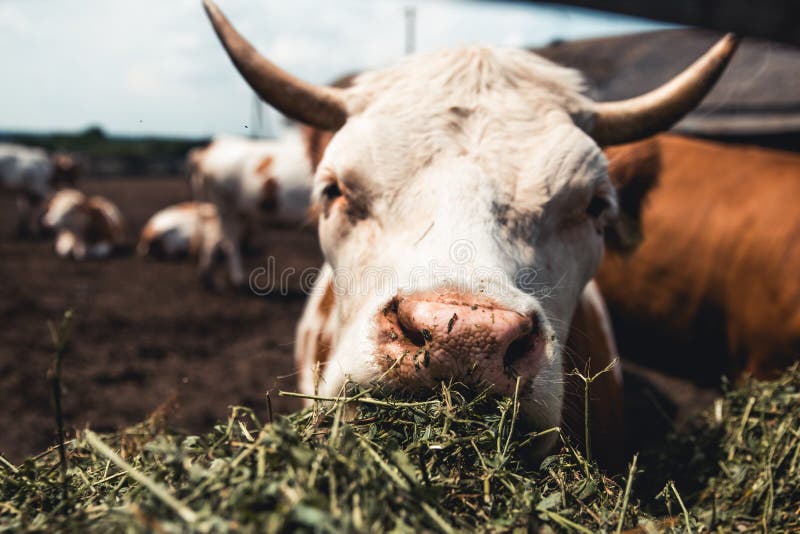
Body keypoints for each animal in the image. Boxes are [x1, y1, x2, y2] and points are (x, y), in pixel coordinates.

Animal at [189, 130, 313, 288]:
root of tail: (212, 146)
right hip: (225, 204)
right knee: (229, 241)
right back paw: (236, 280)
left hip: (235, 210)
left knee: (215, 238)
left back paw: (208, 277)